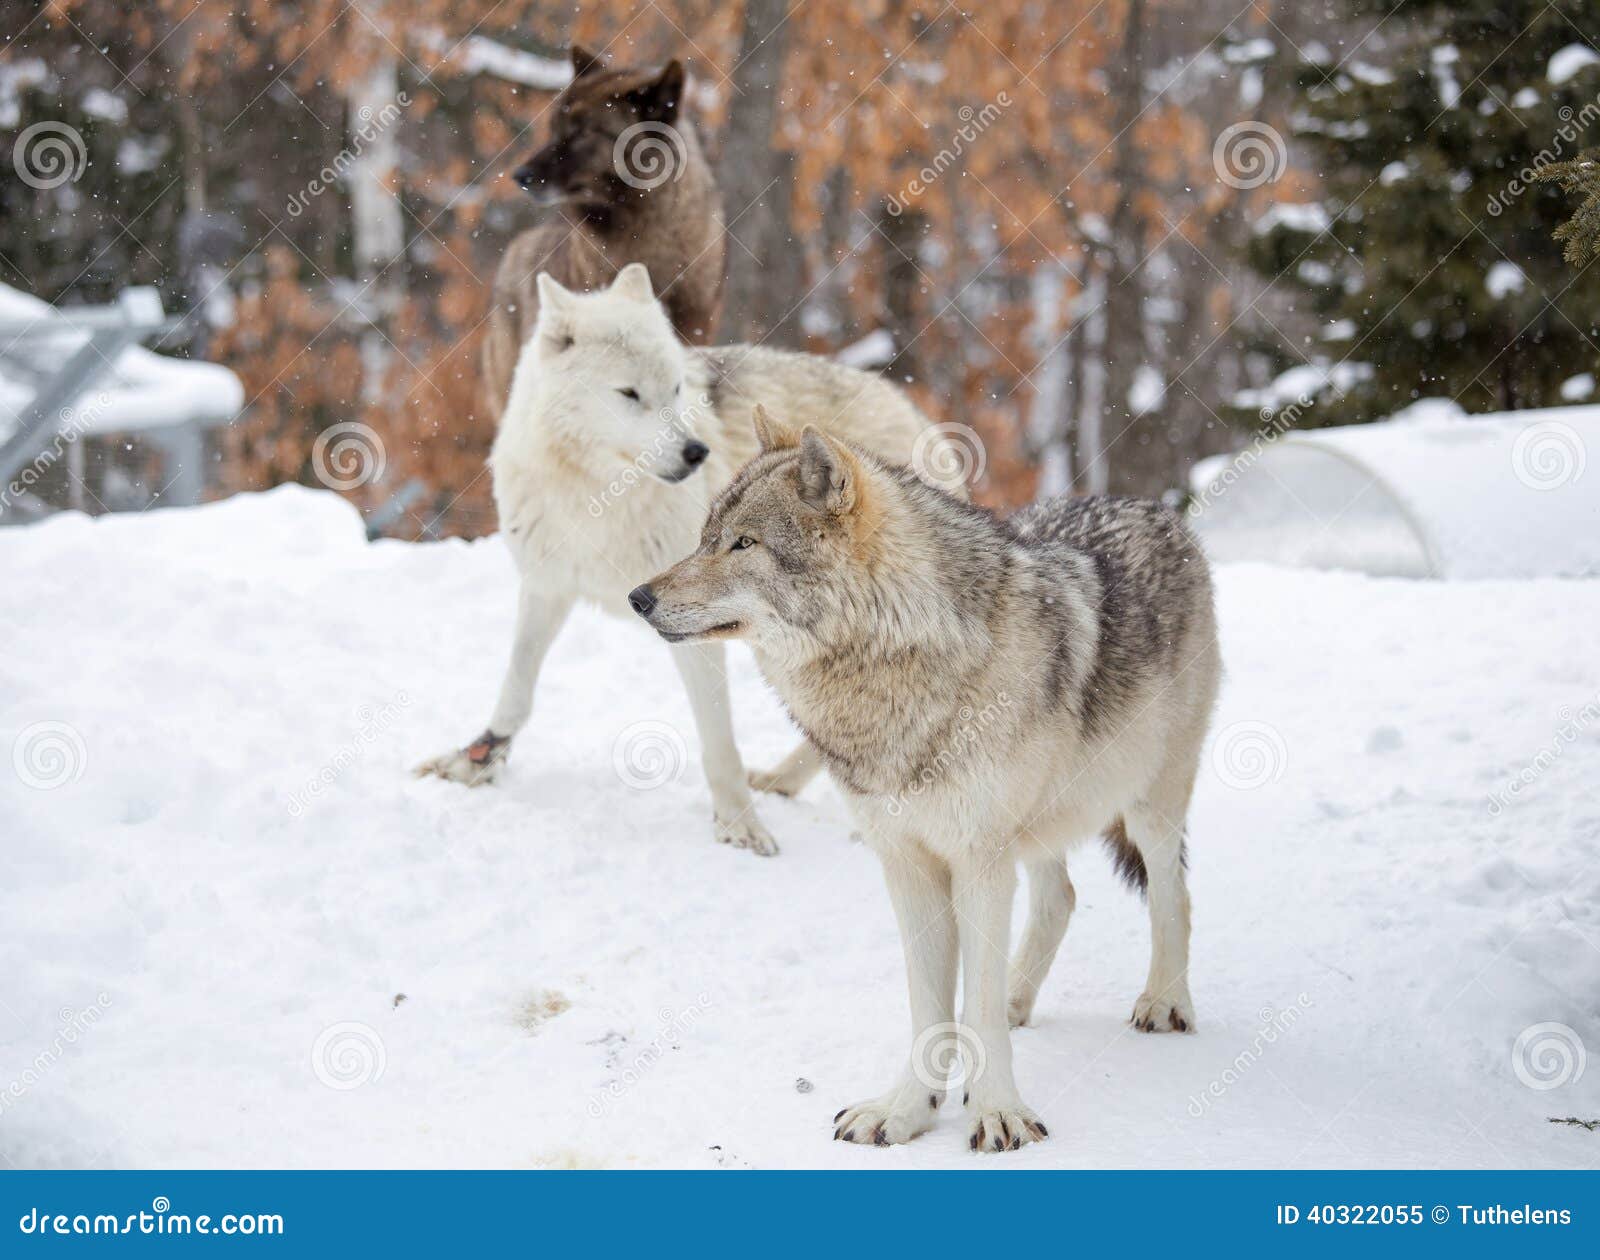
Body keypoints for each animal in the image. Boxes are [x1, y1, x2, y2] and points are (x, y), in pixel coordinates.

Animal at [415, 268, 967, 857]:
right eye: (630, 394)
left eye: (676, 390)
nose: (696, 452)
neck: (596, 498)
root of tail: (915, 413)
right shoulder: (548, 586)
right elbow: (516, 689)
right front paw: (476, 762)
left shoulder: (695, 628)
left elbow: (719, 742)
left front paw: (738, 824)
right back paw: (783, 783)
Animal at [631, 415, 1221, 1149]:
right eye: (705, 536)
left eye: (744, 543)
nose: (638, 598)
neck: (895, 662)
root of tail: (1150, 507)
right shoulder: (908, 863)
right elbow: (929, 1005)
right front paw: (906, 1111)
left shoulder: (976, 859)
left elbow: (978, 1007)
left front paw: (998, 1112)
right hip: (1038, 827)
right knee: (1059, 900)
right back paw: (1020, 997)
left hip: (1146, 804)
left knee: (1175, 895)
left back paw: (1164, 1001)